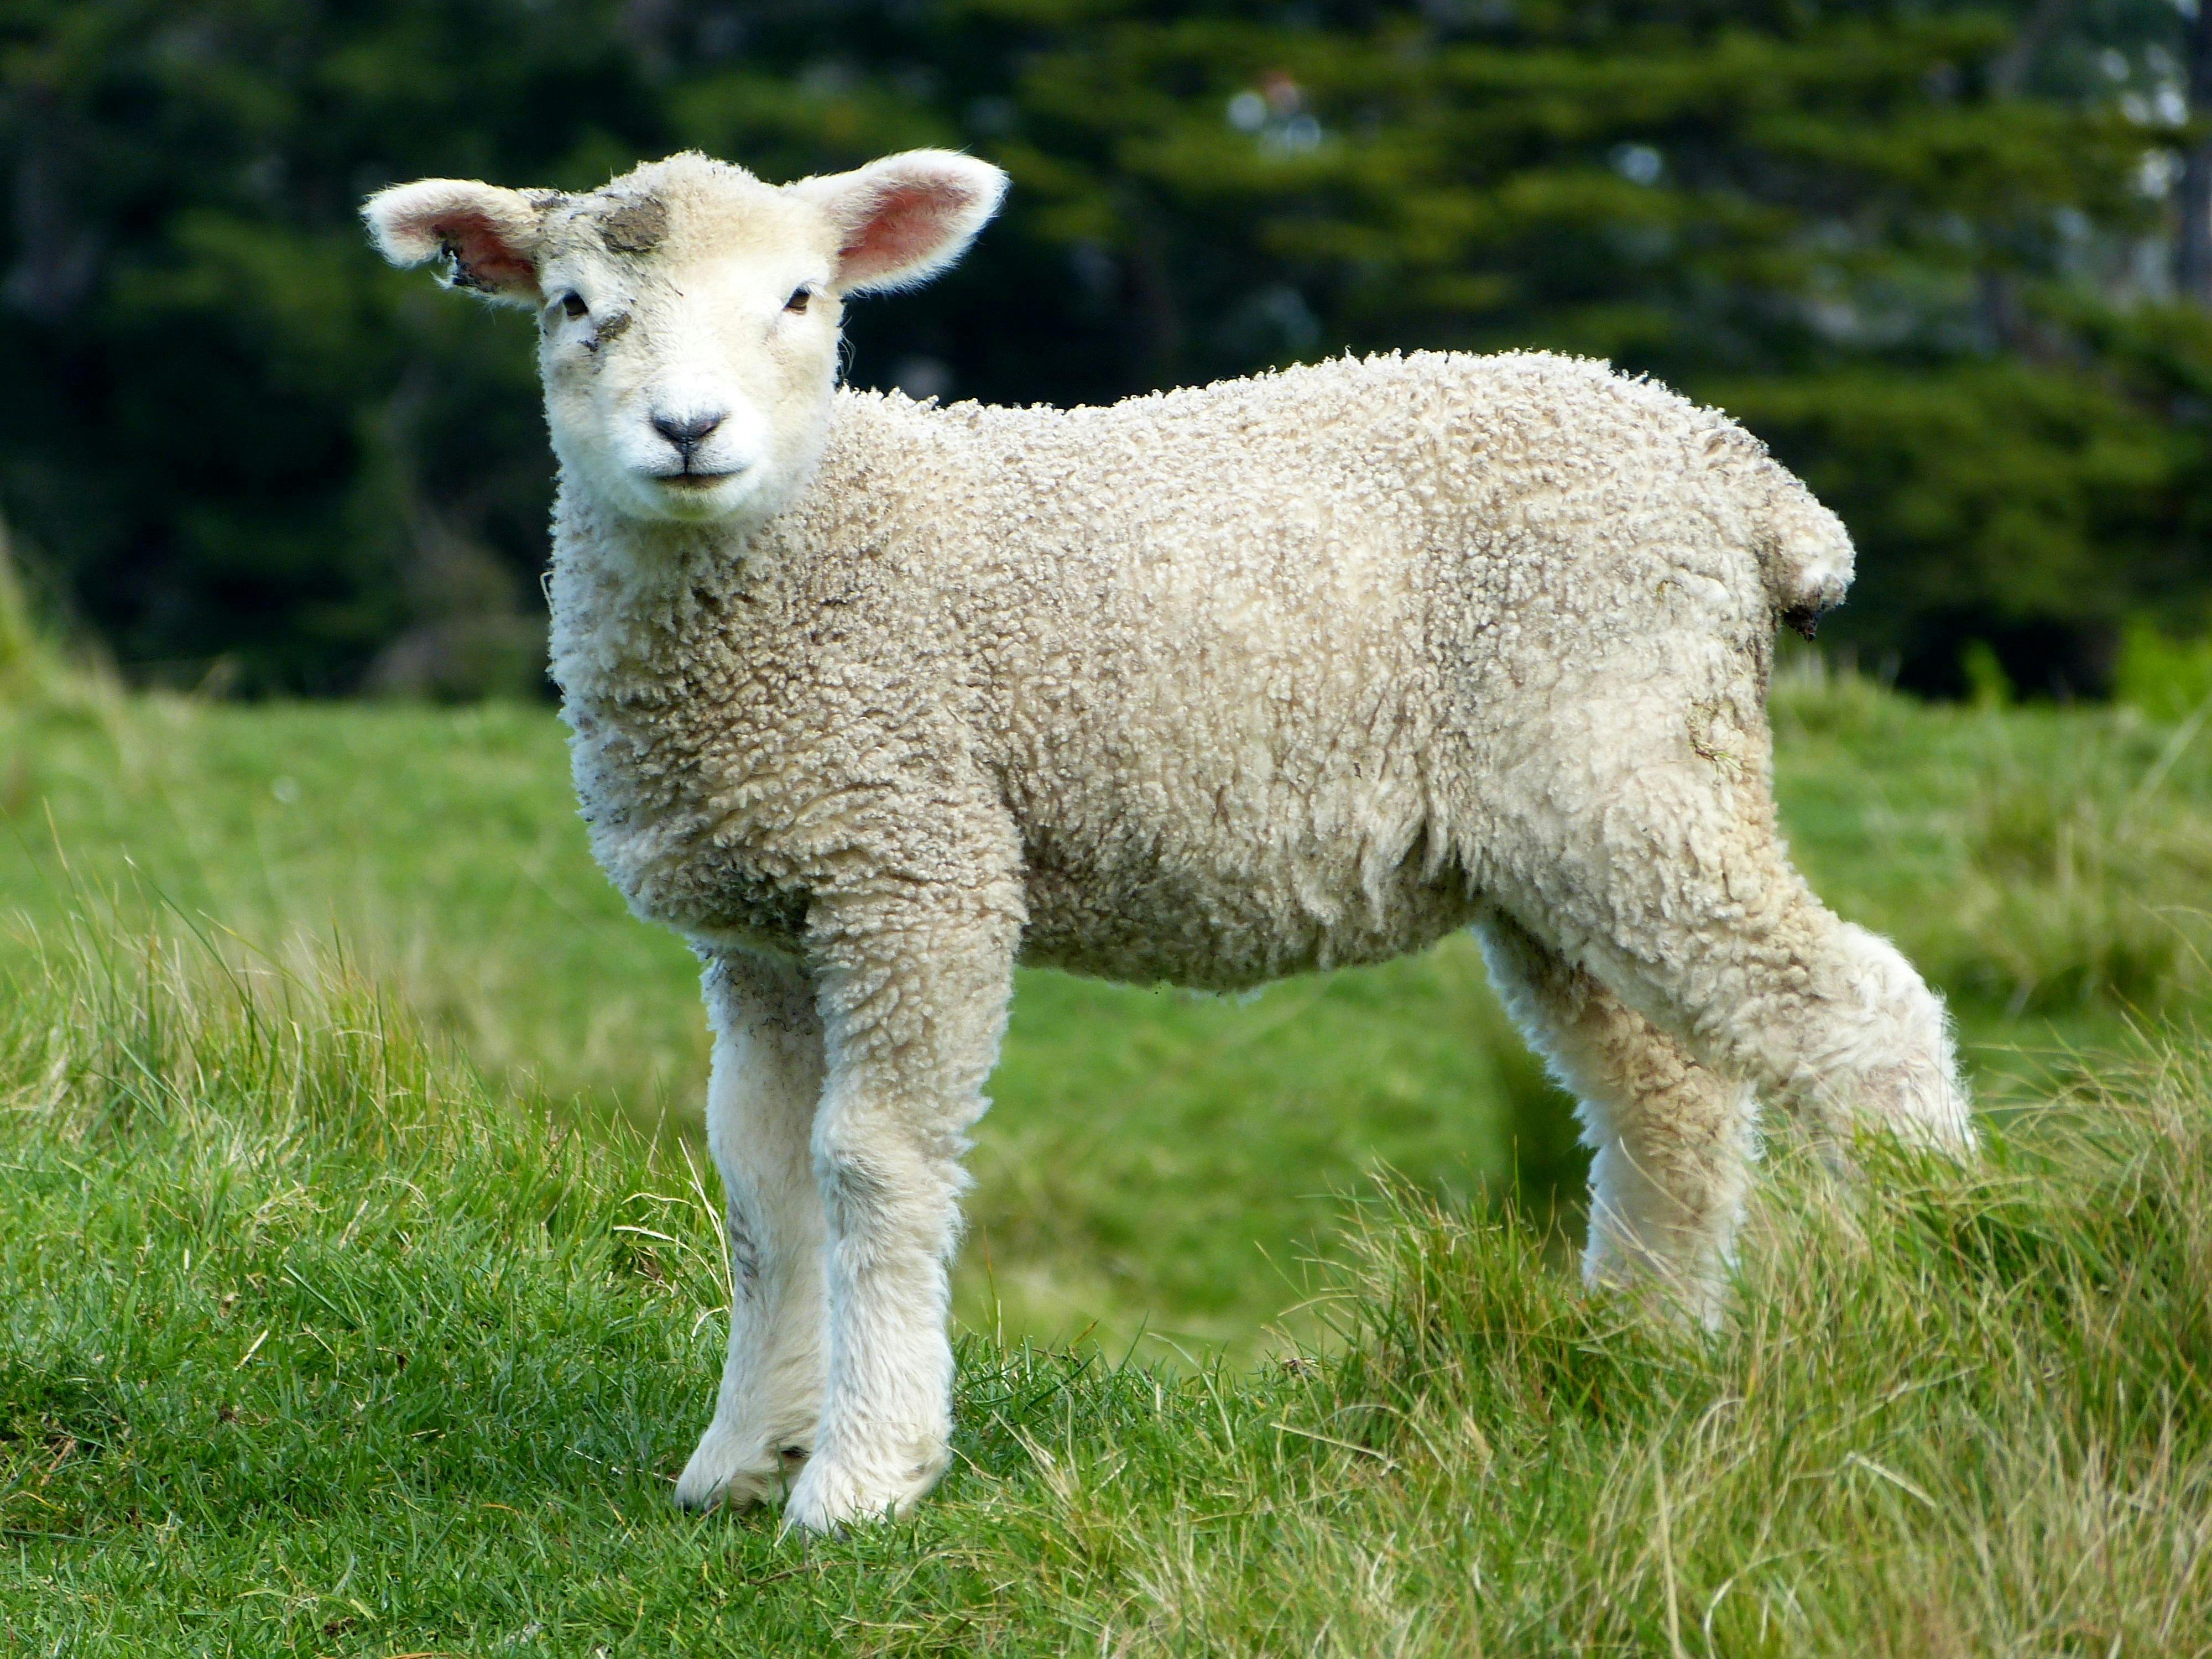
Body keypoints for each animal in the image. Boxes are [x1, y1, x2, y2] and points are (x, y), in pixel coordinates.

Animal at [364, 148, 1973, 1534]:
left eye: (803, 299)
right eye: (576, 308)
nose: (688, 433)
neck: (814, 547)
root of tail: (1750, 485)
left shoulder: (917, 863)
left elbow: (869, 1161)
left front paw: (865, 1472)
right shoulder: (765, 913)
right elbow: (761, 1185)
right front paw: (742, 1457)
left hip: (1625, 764)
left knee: (1860, 1013)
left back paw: (1939, 1292)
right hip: (1561, 834)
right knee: (1667, 1102)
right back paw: (1632, 1361)